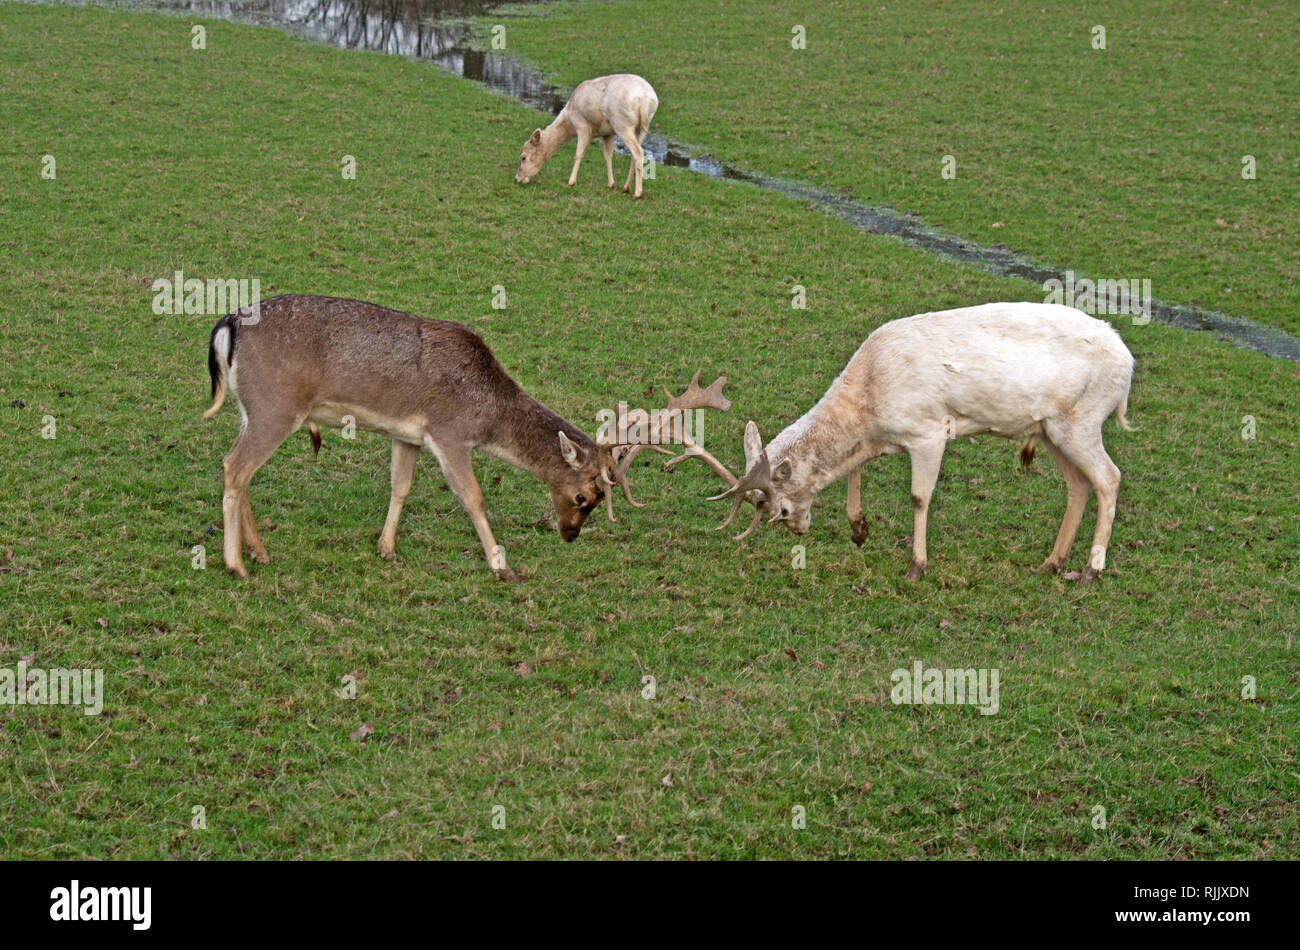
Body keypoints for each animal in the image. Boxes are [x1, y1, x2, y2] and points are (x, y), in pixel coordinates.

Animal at [514, 74, 659, 198]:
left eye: (523, 157)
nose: (516, 179)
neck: (569, 121)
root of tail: (646, 100)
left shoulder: (582, 125)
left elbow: (578, 153)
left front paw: (571, 181)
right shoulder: (607, 133)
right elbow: (607, 155)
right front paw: (611, 184)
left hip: (622, 123)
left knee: (638, 152)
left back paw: (638, 193)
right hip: (642, 127)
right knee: (635, 154)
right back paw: (626, 188)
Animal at [706, 302, 1137, 582]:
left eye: (776, 509)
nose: (798, 530)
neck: (870, 403)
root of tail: (1128, 363)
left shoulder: (929, 431)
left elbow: (919, 497)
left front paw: (916, 567)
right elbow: (856, 467)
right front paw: (859, 529)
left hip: (1083, 420)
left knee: (1110, 477)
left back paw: (1090, 570)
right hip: (1050, 430)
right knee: (1079, 485)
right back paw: (1051, 563)